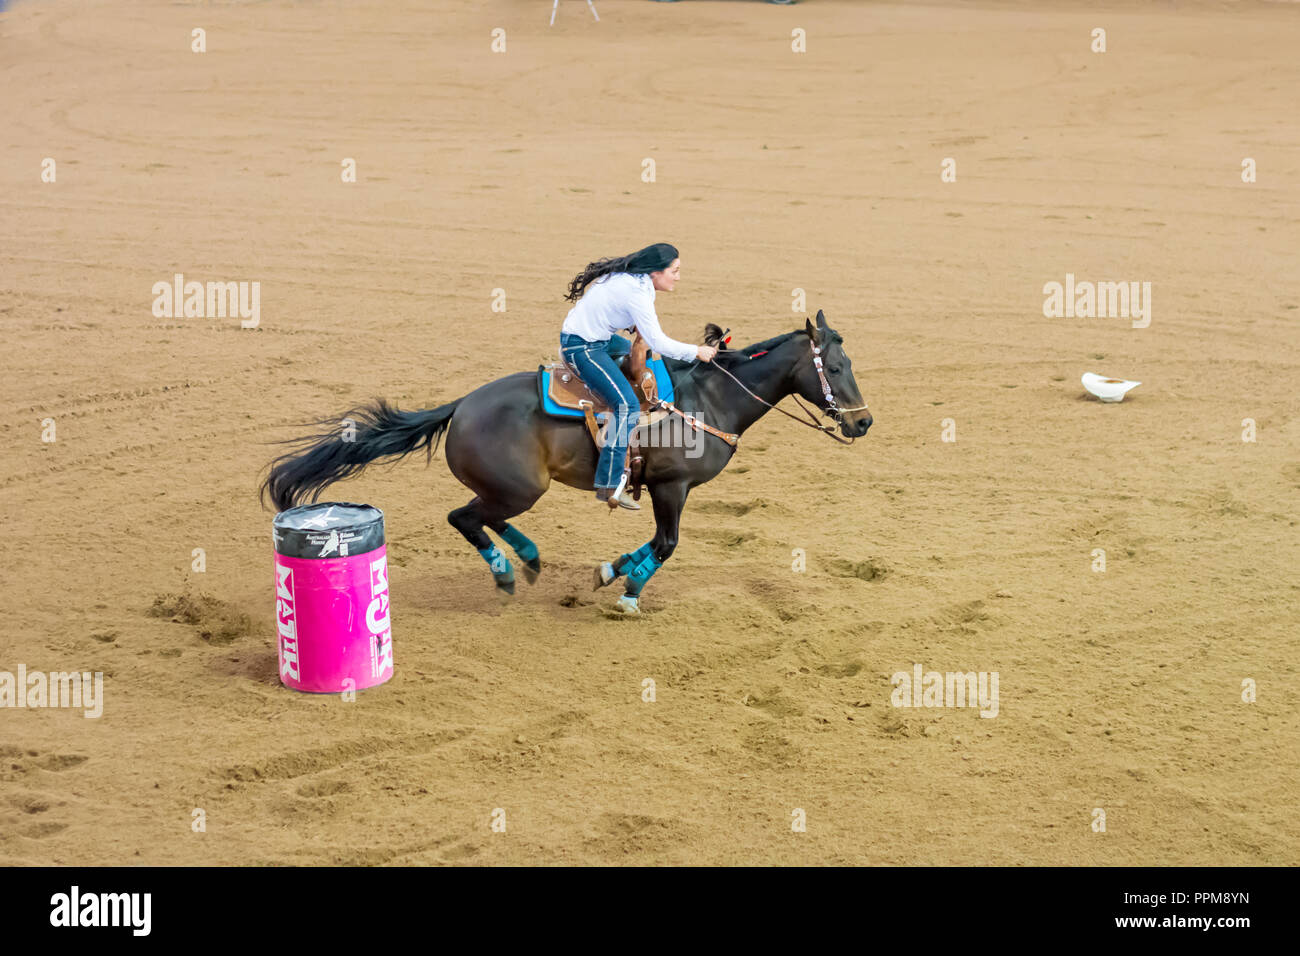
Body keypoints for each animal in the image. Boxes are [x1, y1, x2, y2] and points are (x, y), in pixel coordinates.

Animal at [261, 309, 872, 613]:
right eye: (838, 367)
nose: (864, 422)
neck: (708, 398)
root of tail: (461, 405)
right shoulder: (671, 485)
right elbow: (667, 544)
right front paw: (628, 595)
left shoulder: (666, 488)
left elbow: (652, 544)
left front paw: (611, 571)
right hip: (520, 488)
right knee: (466, 518)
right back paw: (508, 573)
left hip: (511, 489)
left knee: (480, 517)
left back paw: (529, 560)